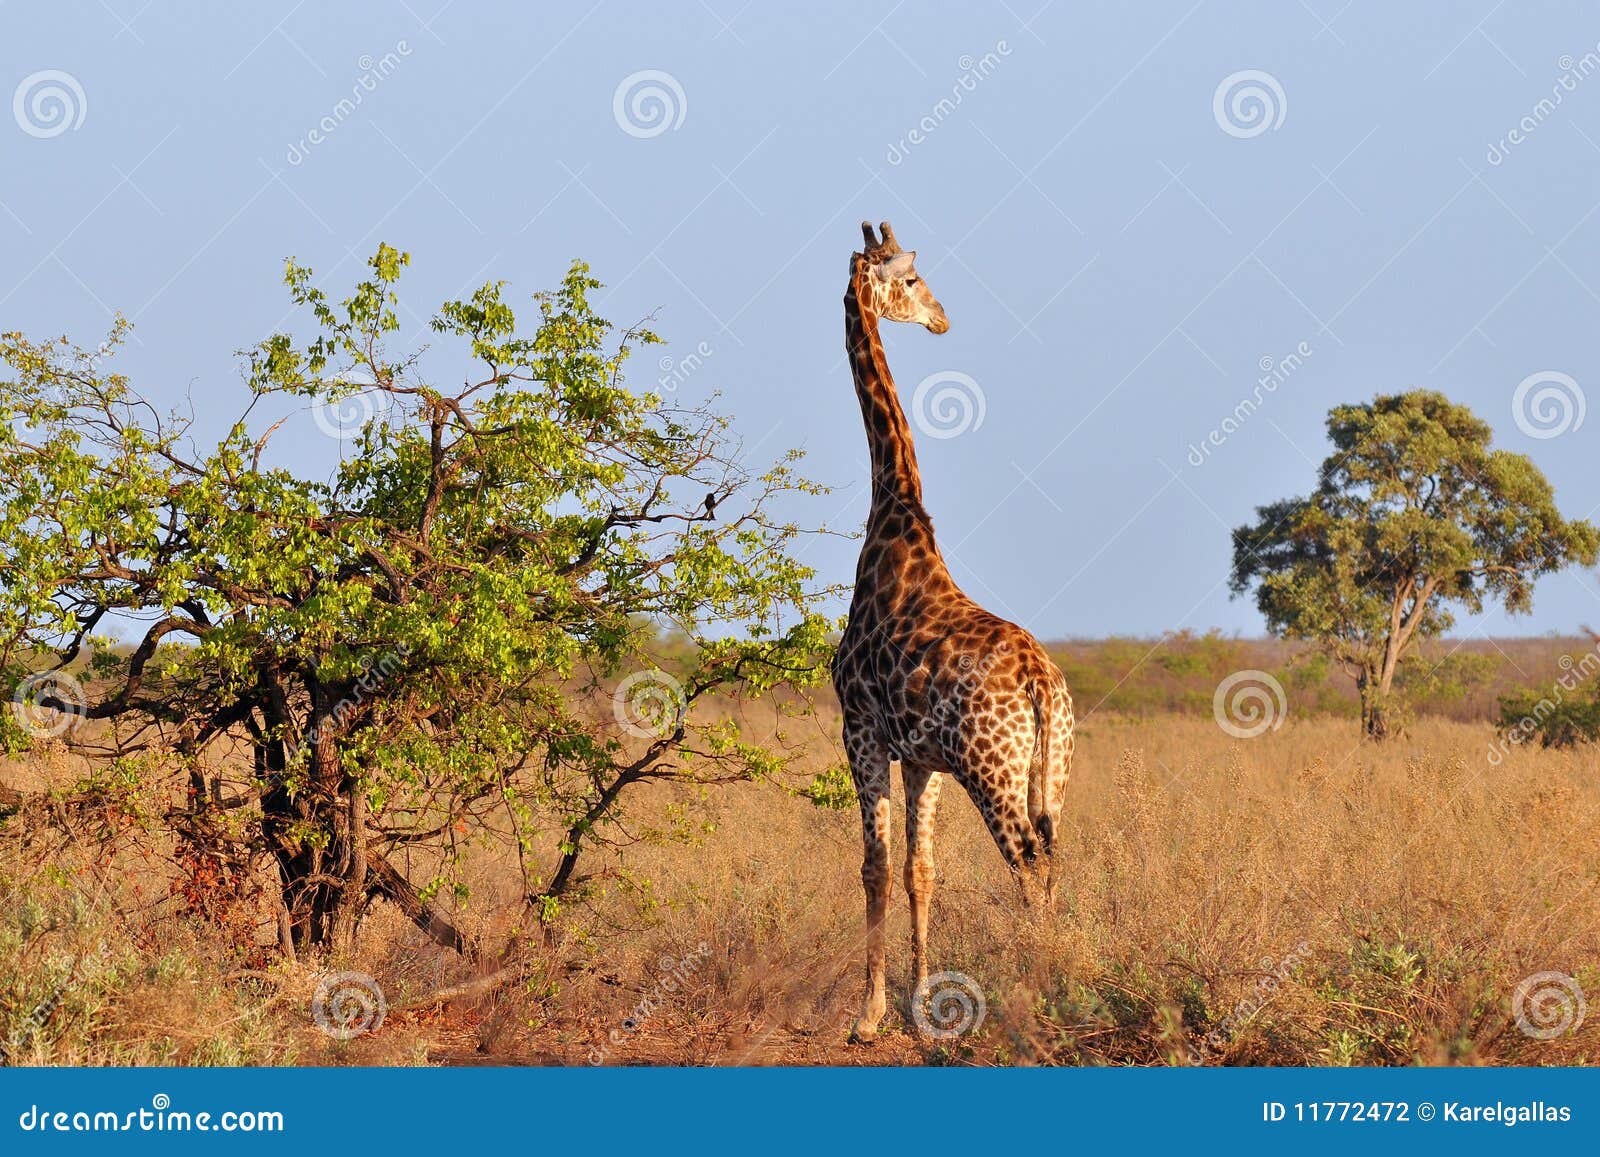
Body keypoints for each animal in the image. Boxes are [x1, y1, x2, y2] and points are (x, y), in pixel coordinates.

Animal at [832, 221, 1075, 1043]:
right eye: (908, 278)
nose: (941, 319)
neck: (892, 514)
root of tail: (1040, 684)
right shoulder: (921, 758)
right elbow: (920, 870)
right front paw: (918, 1001)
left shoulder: (859, 727)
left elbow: (874, 867)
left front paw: (868, 1015)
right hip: (1049, 772)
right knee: (1055, 856)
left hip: (991, 770)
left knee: (1028, 862)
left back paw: (1041, 988)